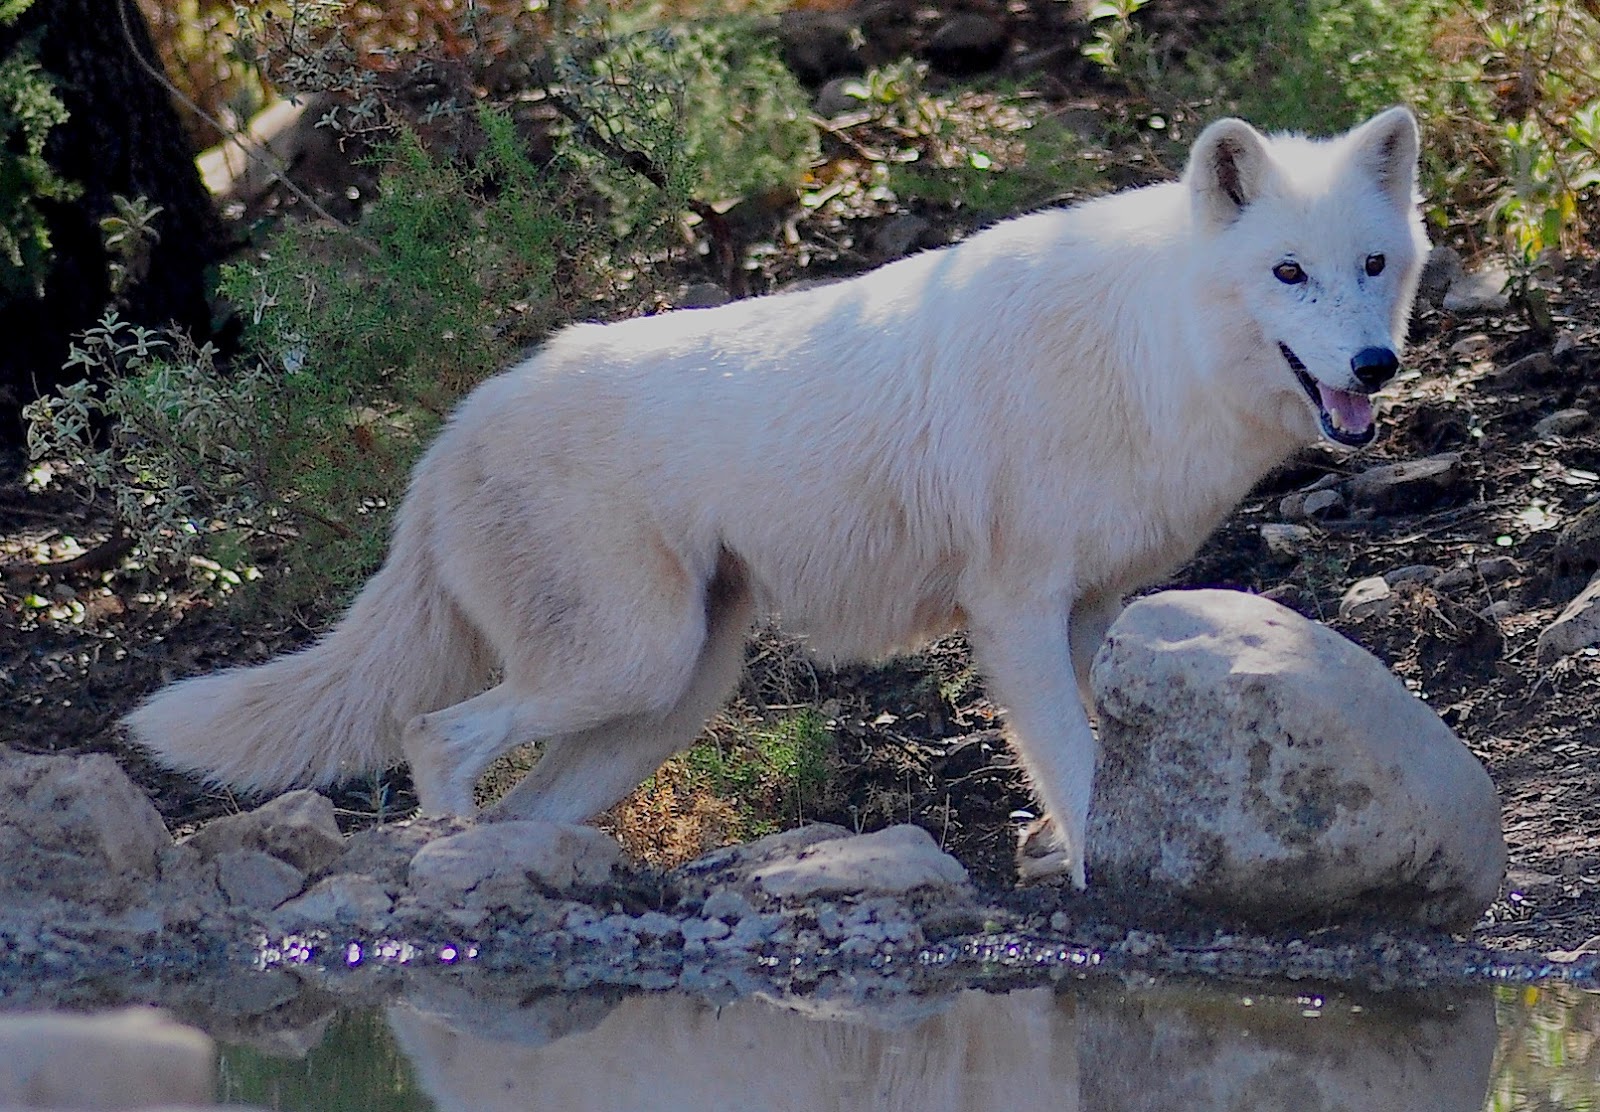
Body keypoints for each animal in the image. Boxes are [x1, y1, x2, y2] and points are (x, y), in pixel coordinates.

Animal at [126, 106, 1429, 888]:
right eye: (1286, 272)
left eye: (1372, 263)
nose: (1374, 367)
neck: (1144, 348)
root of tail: (446, 439)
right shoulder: (1014, 612)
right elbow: (1072, 755)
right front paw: (1097, 873)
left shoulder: (1092, 611)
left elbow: (1089, 754)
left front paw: (1067, 853)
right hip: (632, 663)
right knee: (432, 732)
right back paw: (447, 855)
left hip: (665, 695)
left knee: (519, 791)